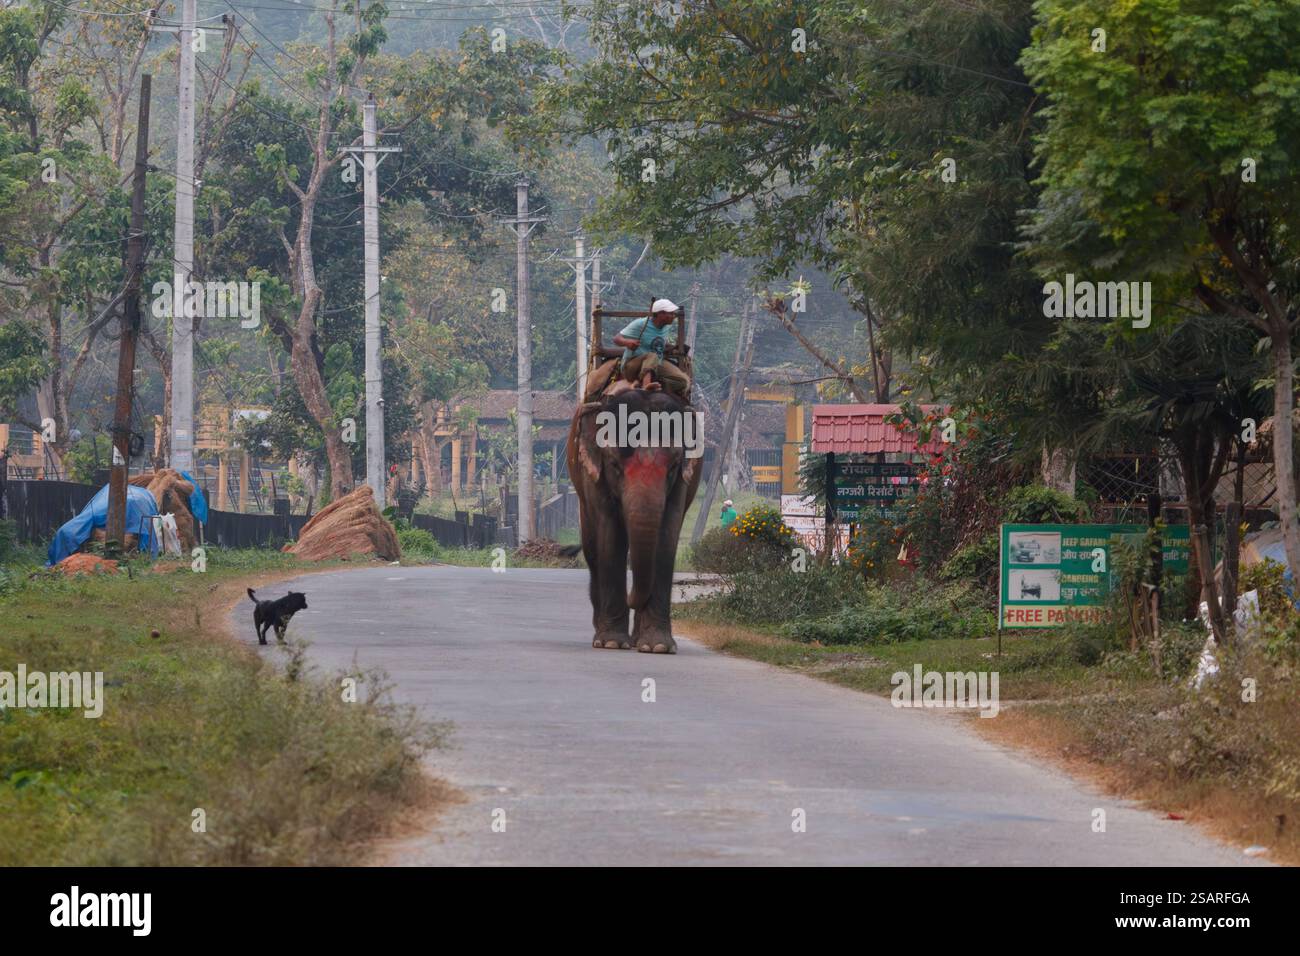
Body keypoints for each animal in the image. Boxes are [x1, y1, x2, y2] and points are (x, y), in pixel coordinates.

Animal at [566, 386, 702, 653]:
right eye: (614, 465)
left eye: (673, 467)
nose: (632, 599)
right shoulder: (594, 475)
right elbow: (611, 536)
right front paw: (611, 643)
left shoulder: (683, 481)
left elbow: (666, 538)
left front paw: (658, 646)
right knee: (592, 551)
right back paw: (602, 633)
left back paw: (639, 640)